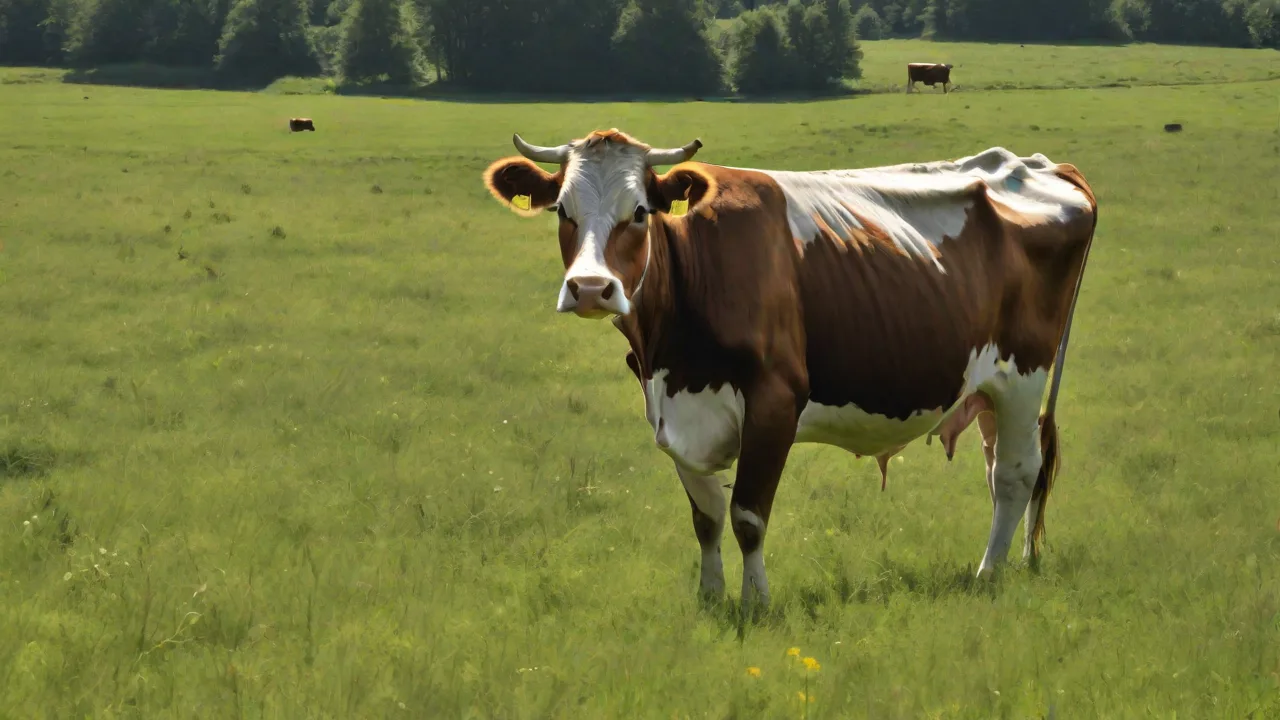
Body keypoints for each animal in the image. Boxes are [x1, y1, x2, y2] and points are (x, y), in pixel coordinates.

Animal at [481, 129, 1098, 610]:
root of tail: (1039, 164)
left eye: (639, 212)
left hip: (1025, 373)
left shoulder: (775, 402)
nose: (590, 288)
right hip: (989, 387)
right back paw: (1011, 561)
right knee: (1001, 471)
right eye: (563, 212)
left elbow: (747, 515)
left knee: (1017, 473)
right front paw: (711, 599)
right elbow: (706, 517)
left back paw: (987, 574)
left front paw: (755, 604)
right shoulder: (673, 412)